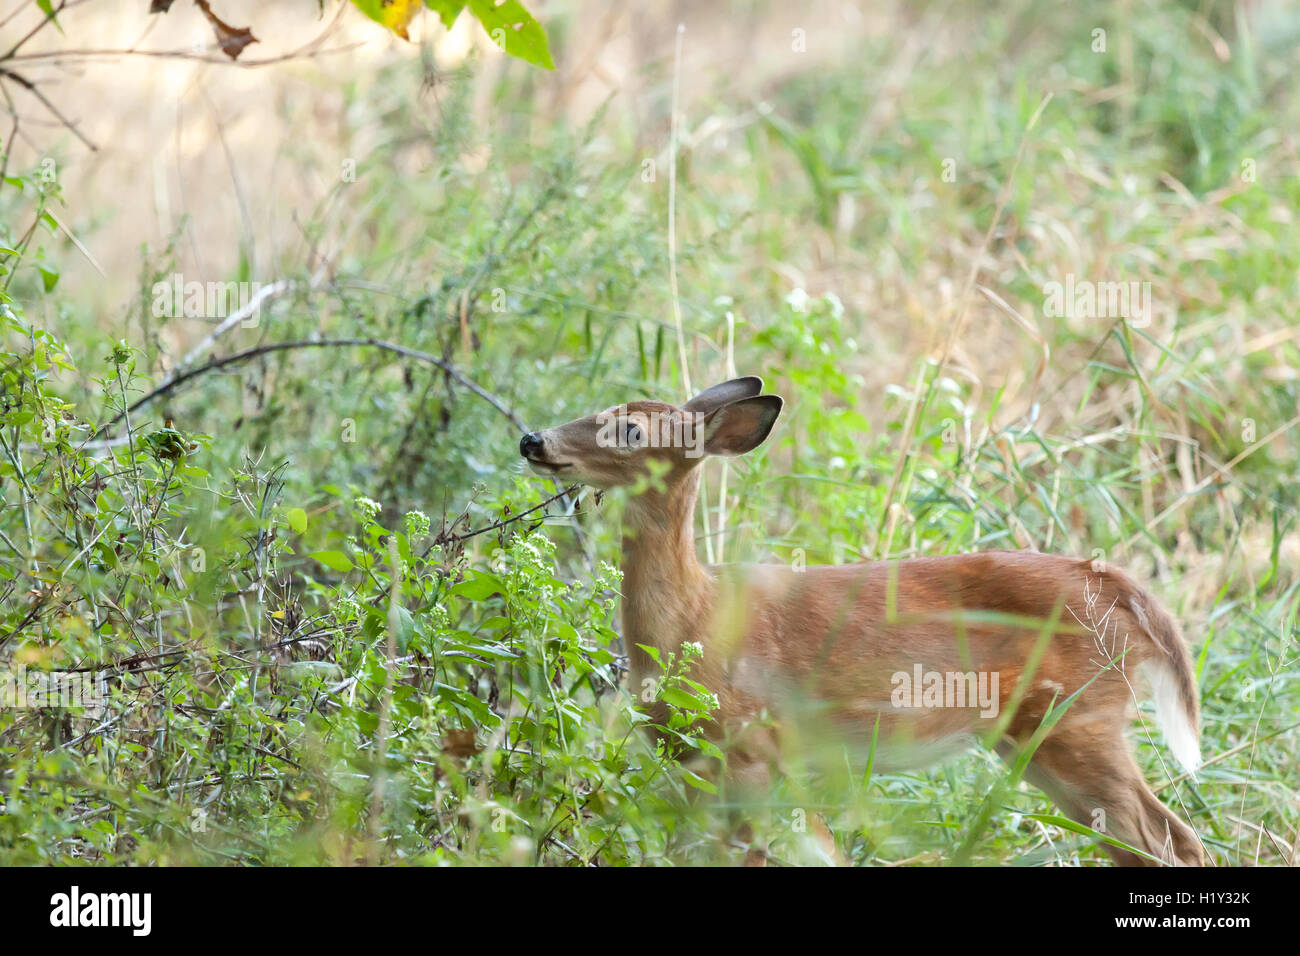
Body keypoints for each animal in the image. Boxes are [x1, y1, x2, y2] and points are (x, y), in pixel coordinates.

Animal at [519, 376, 1203, 866]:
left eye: (632, 429)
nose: (533, 440)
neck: (698, 619)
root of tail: (1123, 590)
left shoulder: (749, 749)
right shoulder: (697, 764)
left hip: (1079, 720)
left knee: (1172, 839)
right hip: (1034, 739)